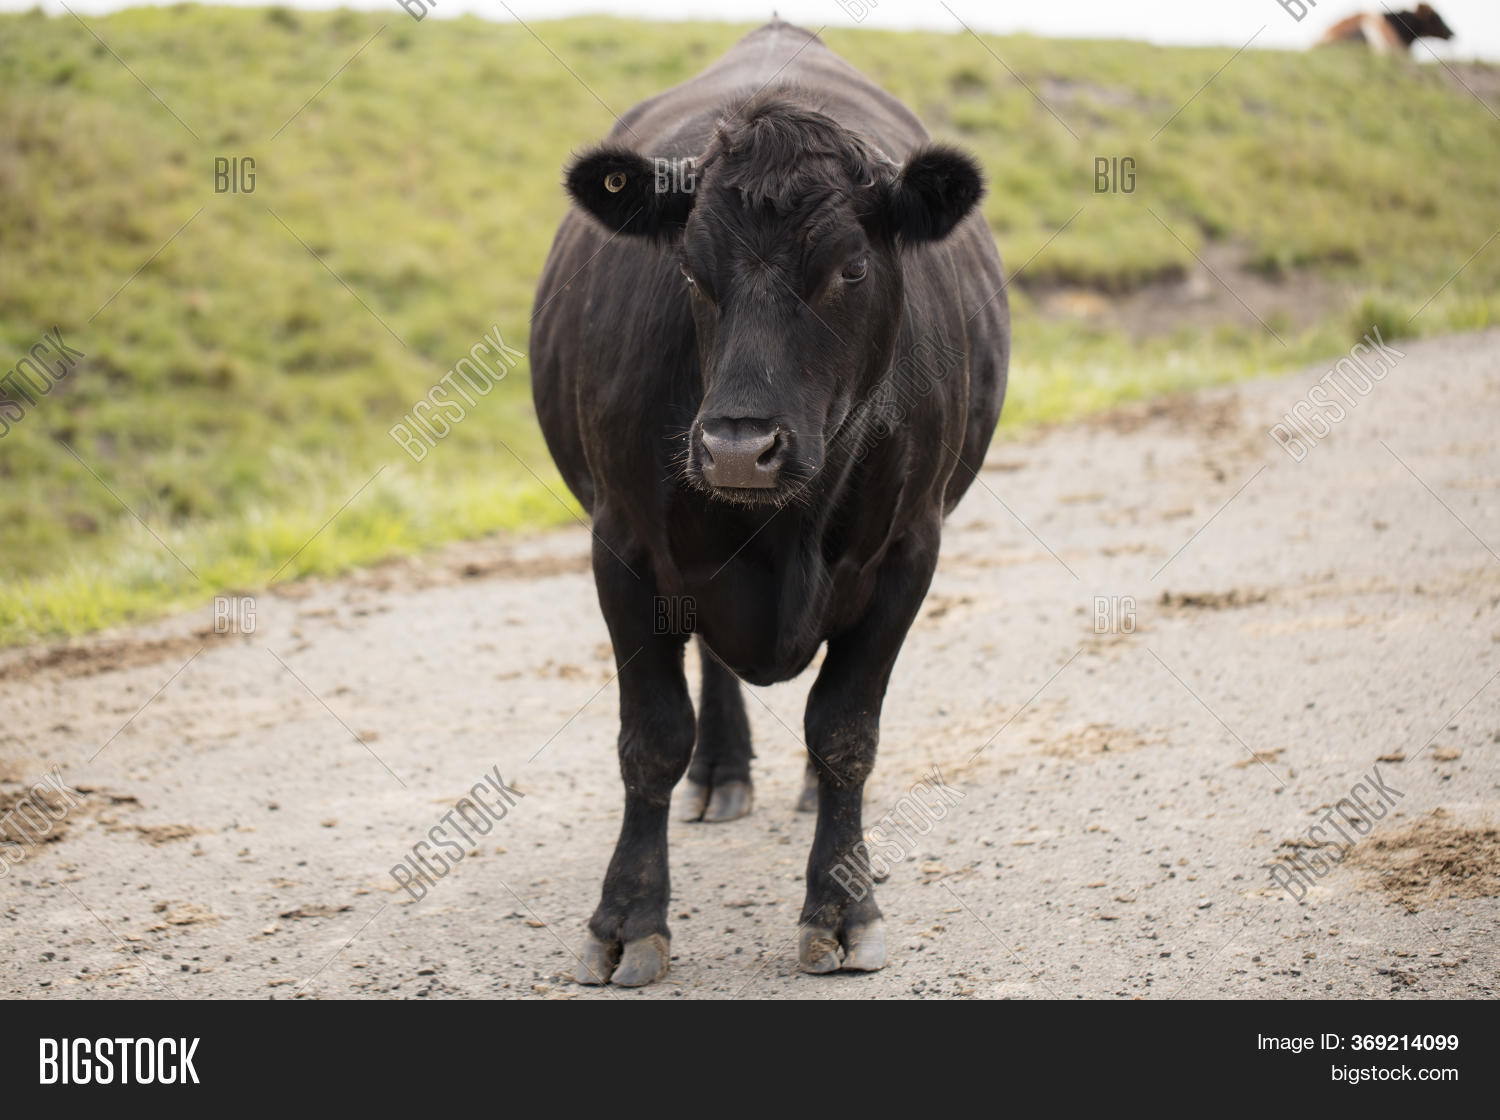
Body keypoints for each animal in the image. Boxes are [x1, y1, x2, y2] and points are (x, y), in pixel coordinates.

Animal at [530, 20, 1009, 987]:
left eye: (852, 268)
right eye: (688, 270)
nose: (736, 448)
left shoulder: (909, 551)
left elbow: (845, 729)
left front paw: (844, 905)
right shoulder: (623, 548)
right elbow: (651, 739)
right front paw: (627, 918)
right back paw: (723, 771)